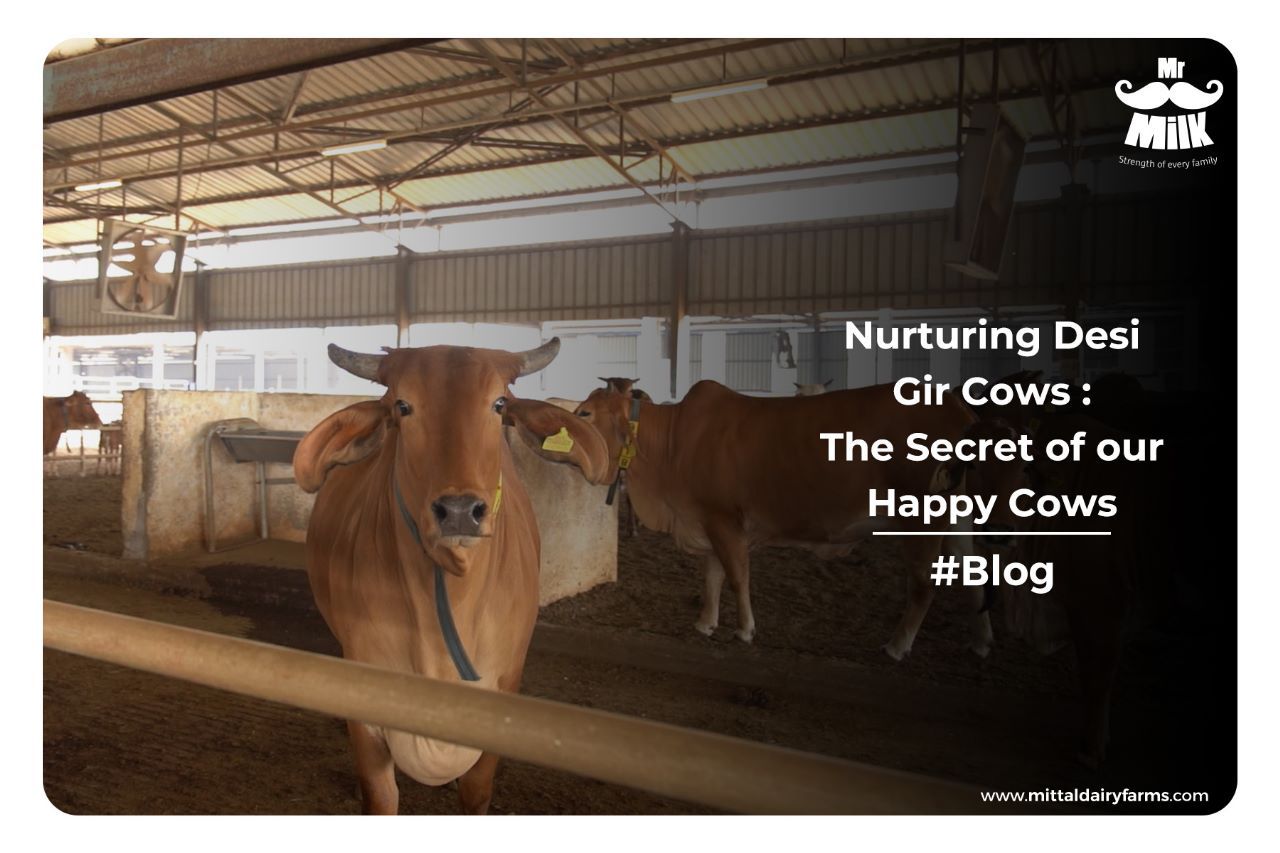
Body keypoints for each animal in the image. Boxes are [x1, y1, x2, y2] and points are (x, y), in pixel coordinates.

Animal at [292, 337, 600, 815]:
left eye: (499, 404)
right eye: (402, 405)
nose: (458, 511)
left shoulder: (505, 691)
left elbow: (476, 791)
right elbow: (380, 795)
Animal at [514, 379, 989, 659]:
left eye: (585, 413)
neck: (671, 446)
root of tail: (960, 411)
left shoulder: (725, 519)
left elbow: (738, 574)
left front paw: (744, 629)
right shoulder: (704, 517)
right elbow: (712, 575)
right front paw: (705, 622)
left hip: (924, 515)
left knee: (924, 582)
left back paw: (897, 644)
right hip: (959, 515)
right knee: (976, 576)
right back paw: (982, 643)